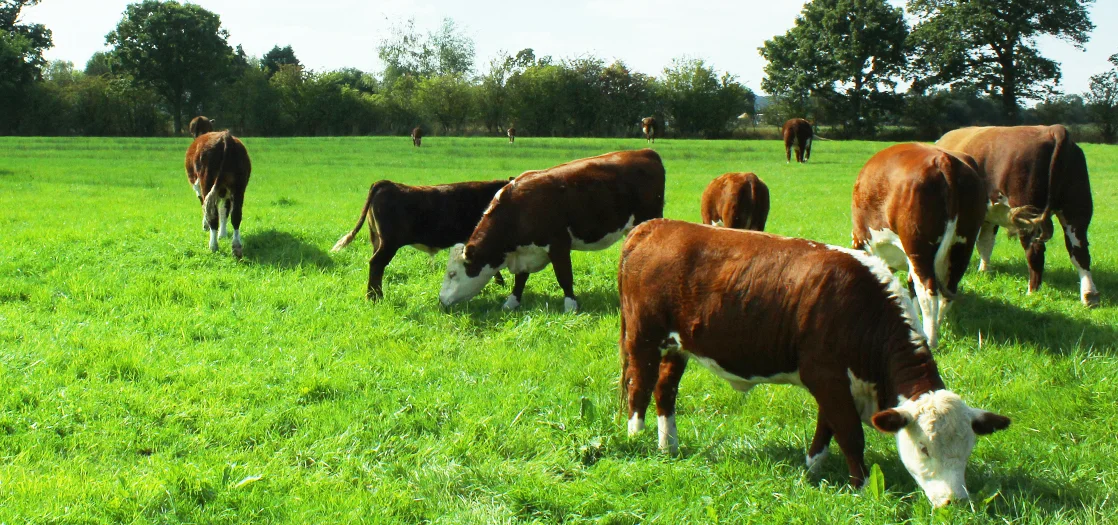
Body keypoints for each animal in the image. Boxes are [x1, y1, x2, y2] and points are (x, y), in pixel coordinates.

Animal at [184, 116, 252, 258]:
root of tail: (226, 137)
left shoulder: (199, 190)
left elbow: (205, 208)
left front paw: (206, 226)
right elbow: (225, 212)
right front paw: (223, 234)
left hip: (207, 183)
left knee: (213, 215)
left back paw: (213, 245)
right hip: (239, 187)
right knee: (236, 215)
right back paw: (236, 247)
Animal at [331, 178, 513, 300]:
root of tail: (387, 183)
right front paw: (500, 284)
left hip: (376, 239)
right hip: (389, 243)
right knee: (376, 263)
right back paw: (375, 297)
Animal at [439, 149, 665, 312]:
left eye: (452, 273)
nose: (441, 300)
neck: (518, 209)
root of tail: (646, 152)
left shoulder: (558, 245)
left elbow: (564, 276)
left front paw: (570, 306)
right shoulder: (524, 251)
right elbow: (521, 279)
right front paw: (511, 303)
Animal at [618, 219, 1011, 508]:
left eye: (968, 451)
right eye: (924, 448)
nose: (955, 501)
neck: (865, 311)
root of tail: (654, 226)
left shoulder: (836, 383)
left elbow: (828, 427)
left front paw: (812, 468)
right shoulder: (825, 376)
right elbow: (850, 434)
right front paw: (861, 486)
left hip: (677, 347)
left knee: (665, 391)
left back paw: (668, 445)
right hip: (643, 338)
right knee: (640, 385)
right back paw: (637, 437)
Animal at [937, 125, 1099, 307]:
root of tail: (1053, 130)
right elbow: (985, 242)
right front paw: (984, 271)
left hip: (1027, 215)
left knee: (1035, 250)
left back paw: (1032, 292)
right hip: (1077, 209)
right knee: (1080, 250)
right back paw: (1090, 296)